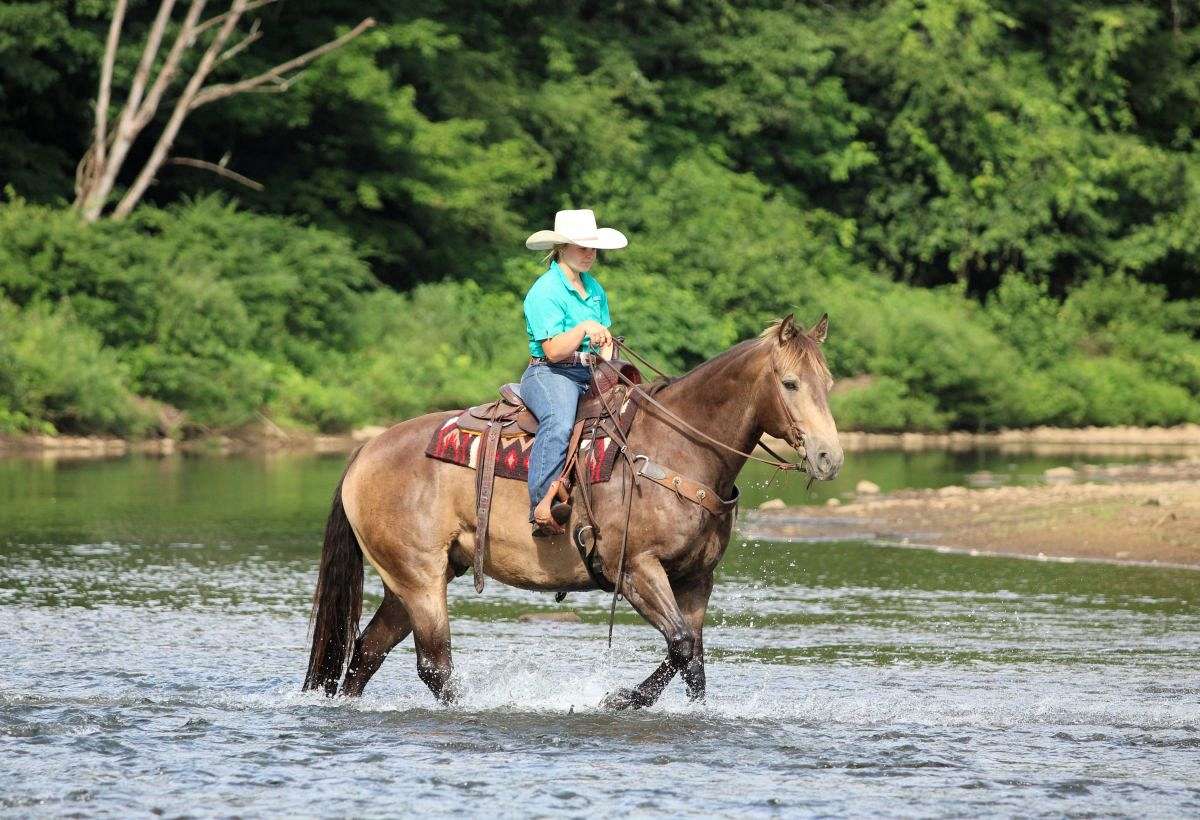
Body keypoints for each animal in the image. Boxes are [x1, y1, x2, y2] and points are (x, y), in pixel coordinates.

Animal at [303, 314, 843, 709]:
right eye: (790, 383)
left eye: (829, 383)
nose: (829, 457)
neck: (675, 450)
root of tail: (365, 452)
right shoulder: (634, 569)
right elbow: (681, 646)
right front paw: (618, 699)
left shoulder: (696, 578)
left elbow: (692, 658)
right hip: (419, 578)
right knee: (434, 666)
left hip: (410, 581)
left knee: (366, 654)